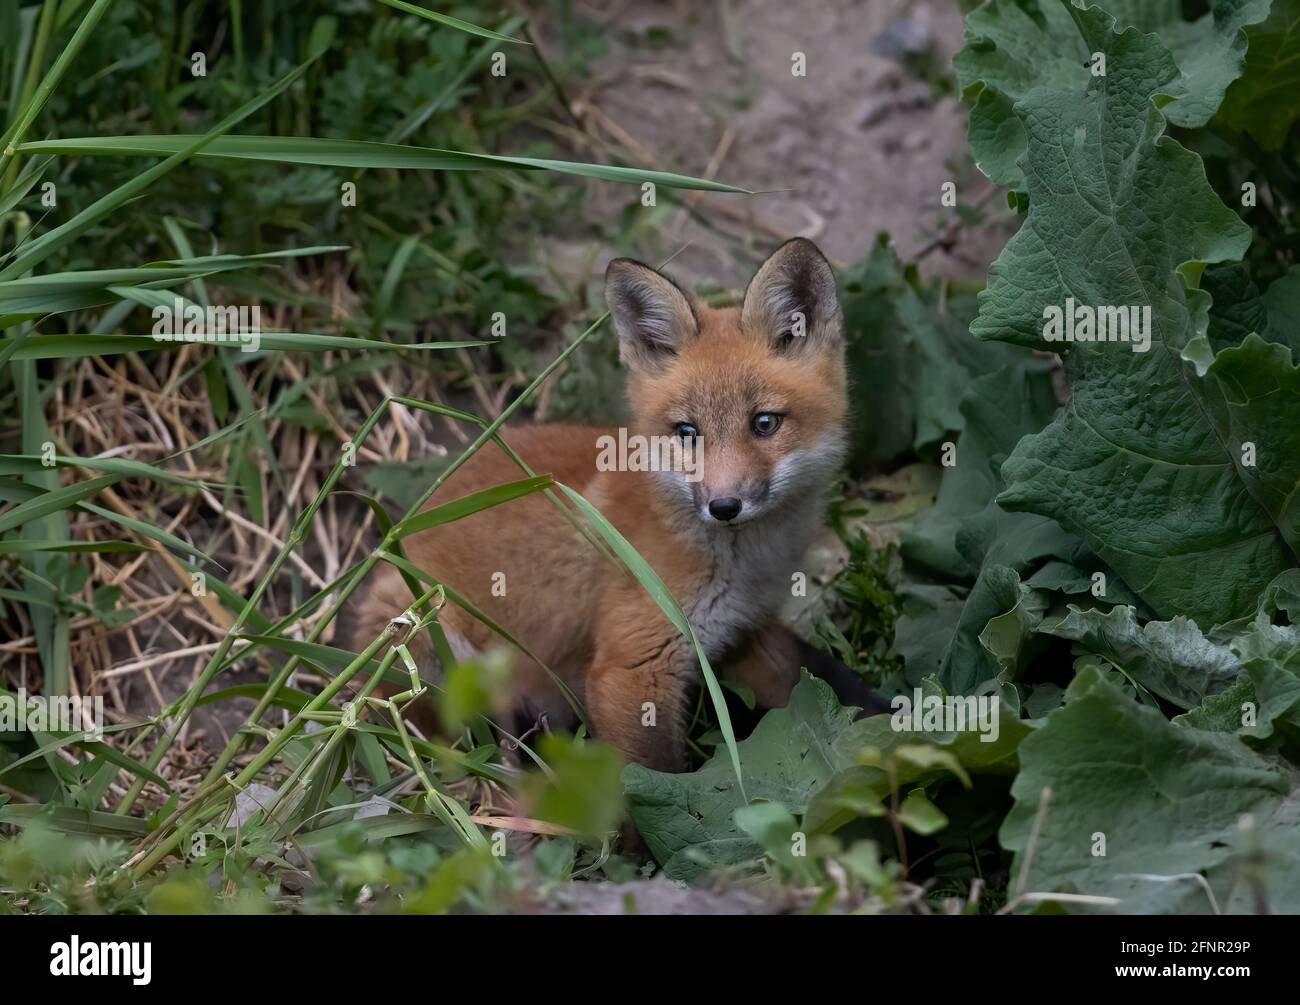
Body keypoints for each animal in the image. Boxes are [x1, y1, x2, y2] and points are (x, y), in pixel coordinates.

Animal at [346, 238, 885, 771]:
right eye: (686, 432)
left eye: (765, 423)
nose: (724, 506)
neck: (743, 568)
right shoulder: (632, 667)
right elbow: (650, 778)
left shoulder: (746, 633)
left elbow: (816, 682)